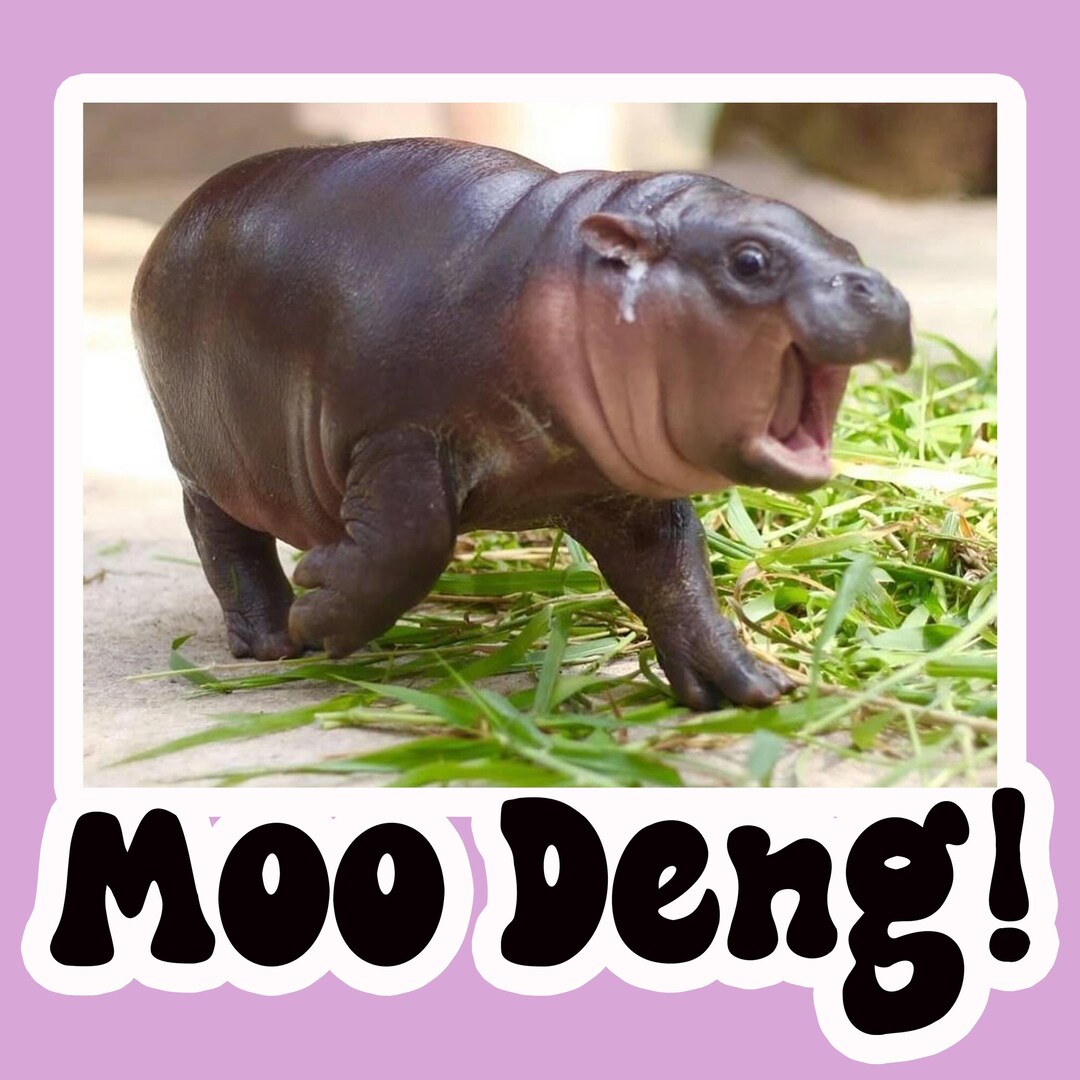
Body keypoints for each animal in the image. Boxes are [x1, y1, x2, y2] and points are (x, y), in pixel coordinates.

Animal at [133, 138, 912, 711]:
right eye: (750, 260)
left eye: (851, 247)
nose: (881, 293)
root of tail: (169, 226)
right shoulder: (397, 439)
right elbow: (412, 544)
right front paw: (320, 604)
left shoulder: (613, 490)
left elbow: (676, 574)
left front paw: (746, 686)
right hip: (205, 457)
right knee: (220, 533)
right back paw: (273, 640)